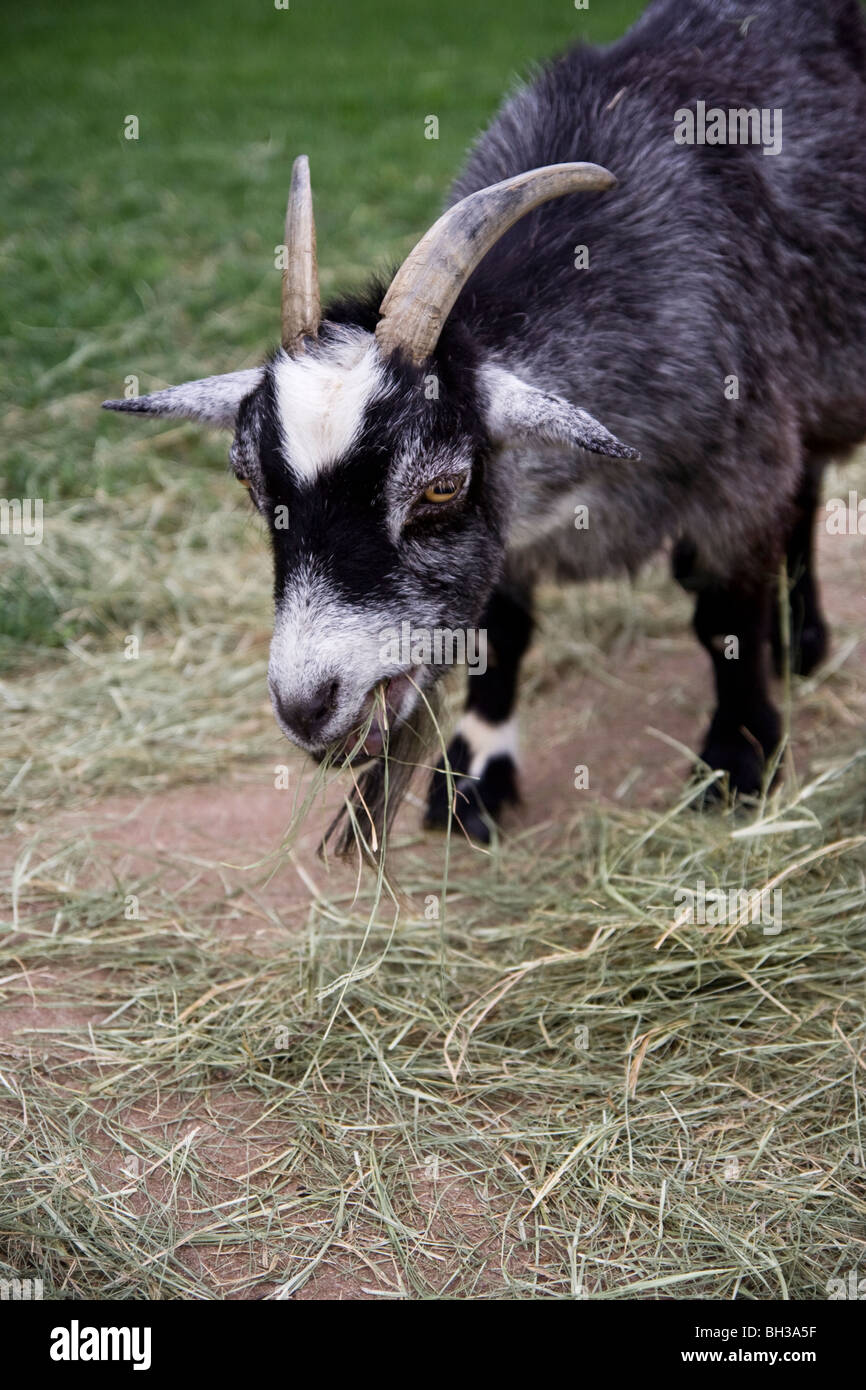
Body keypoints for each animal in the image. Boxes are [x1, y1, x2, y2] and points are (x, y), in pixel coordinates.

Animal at [104, 0, 866, 849]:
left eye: (440, 488)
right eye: (248, 481)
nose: (307, 706)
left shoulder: (742, 464)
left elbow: (723, 613)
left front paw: (737, 761)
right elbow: (498, 628)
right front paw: (472, 776)